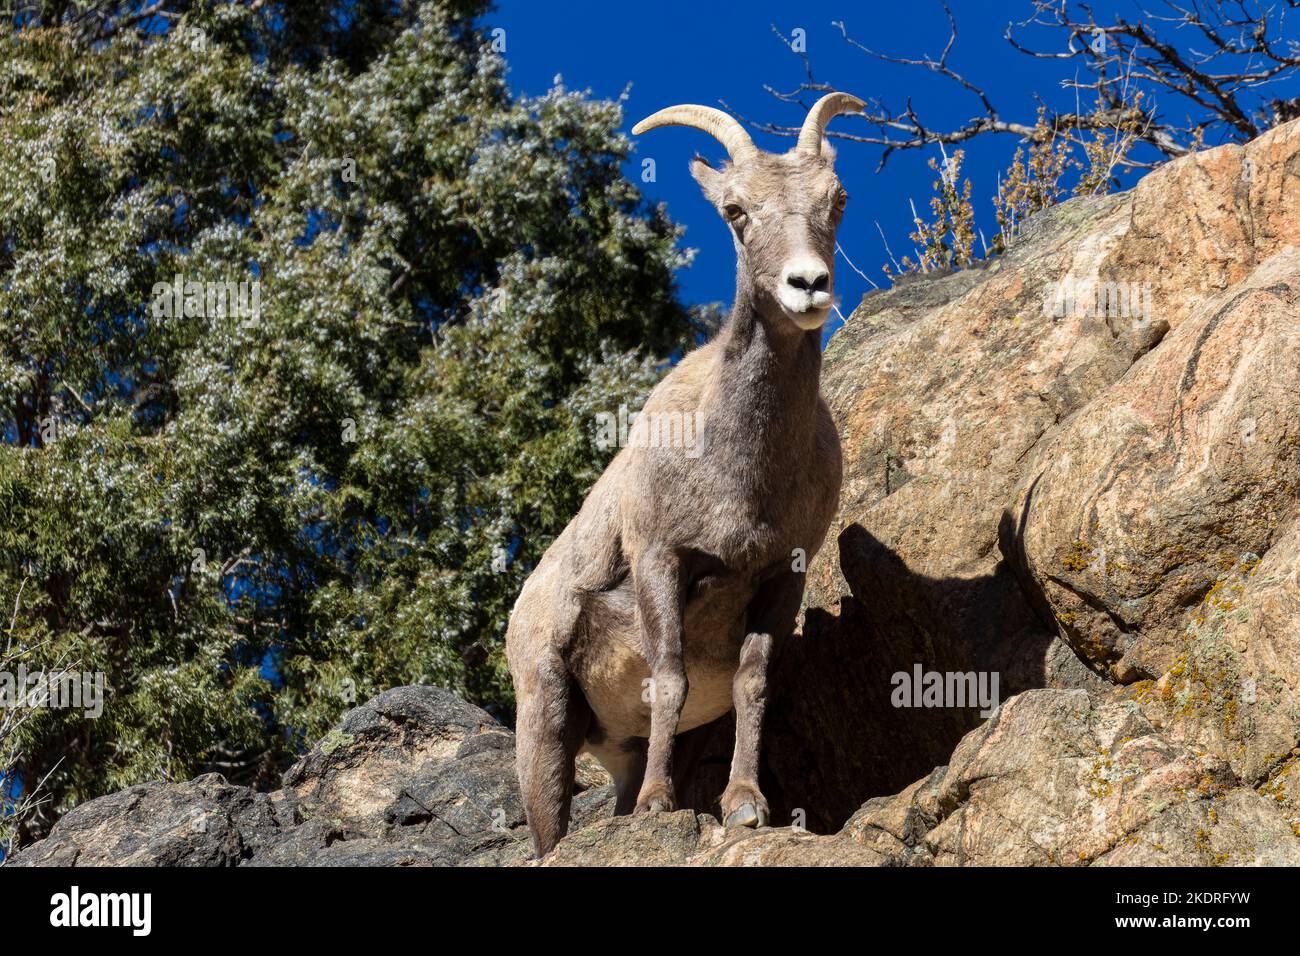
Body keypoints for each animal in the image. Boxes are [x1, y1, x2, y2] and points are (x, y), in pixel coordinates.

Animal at [506, 93, 861, 857]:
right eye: (735, 209)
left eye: (836, 199)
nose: (808, 286)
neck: (740, 476)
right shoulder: (661, 562)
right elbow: (668, 678)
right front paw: (659, 805)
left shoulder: (779, 573)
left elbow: (752, 683)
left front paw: (745, 806)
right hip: (544, 726)